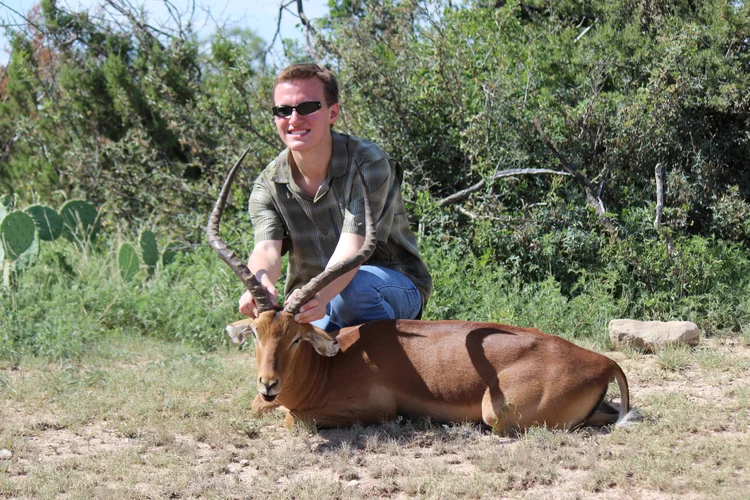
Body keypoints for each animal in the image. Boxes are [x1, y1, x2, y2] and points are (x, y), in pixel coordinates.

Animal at [208, 148, 633, 432]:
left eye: (296, 337)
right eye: (257, 334)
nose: (269, 384)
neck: (330, 366)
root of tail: (603, 363)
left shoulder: (368, 410)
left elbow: (290, 418)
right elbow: (258, 407)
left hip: (496, 413)